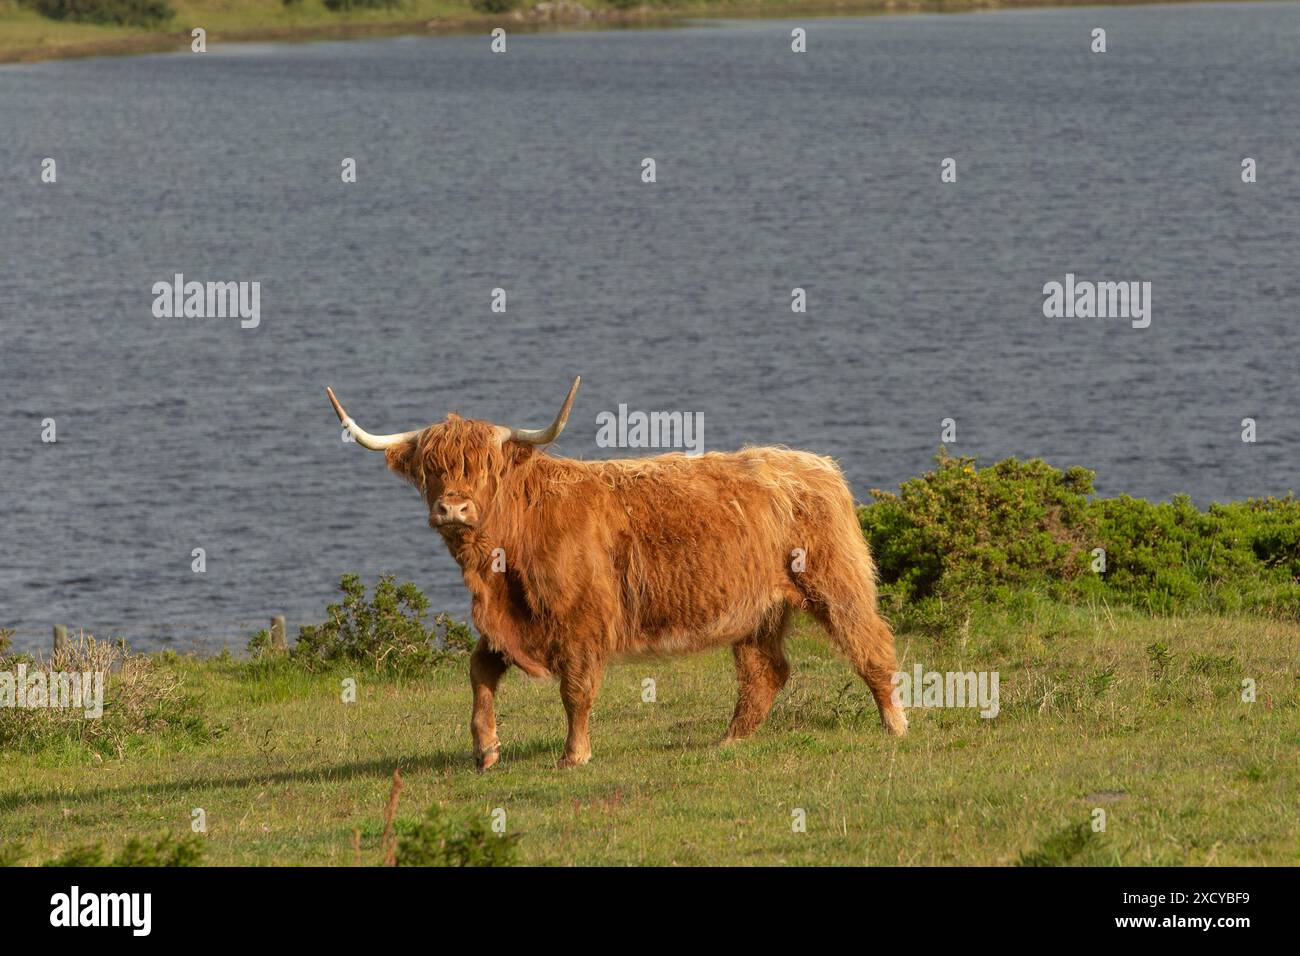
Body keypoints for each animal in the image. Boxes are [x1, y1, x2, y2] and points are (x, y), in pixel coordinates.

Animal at [326, 377, 906, 770]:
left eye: (483, 468)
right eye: (432, 469)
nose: (453, 508)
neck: (499, 568)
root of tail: (814, 464)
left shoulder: (581, 620)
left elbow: (576, 689)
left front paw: (573, 755)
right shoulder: (508, 621)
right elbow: (480, 671)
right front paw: (486, 749)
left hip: (835, 583)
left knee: (871, 646)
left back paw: (895, 724)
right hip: (758, 609)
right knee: (765, 671)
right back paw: (730, 740)